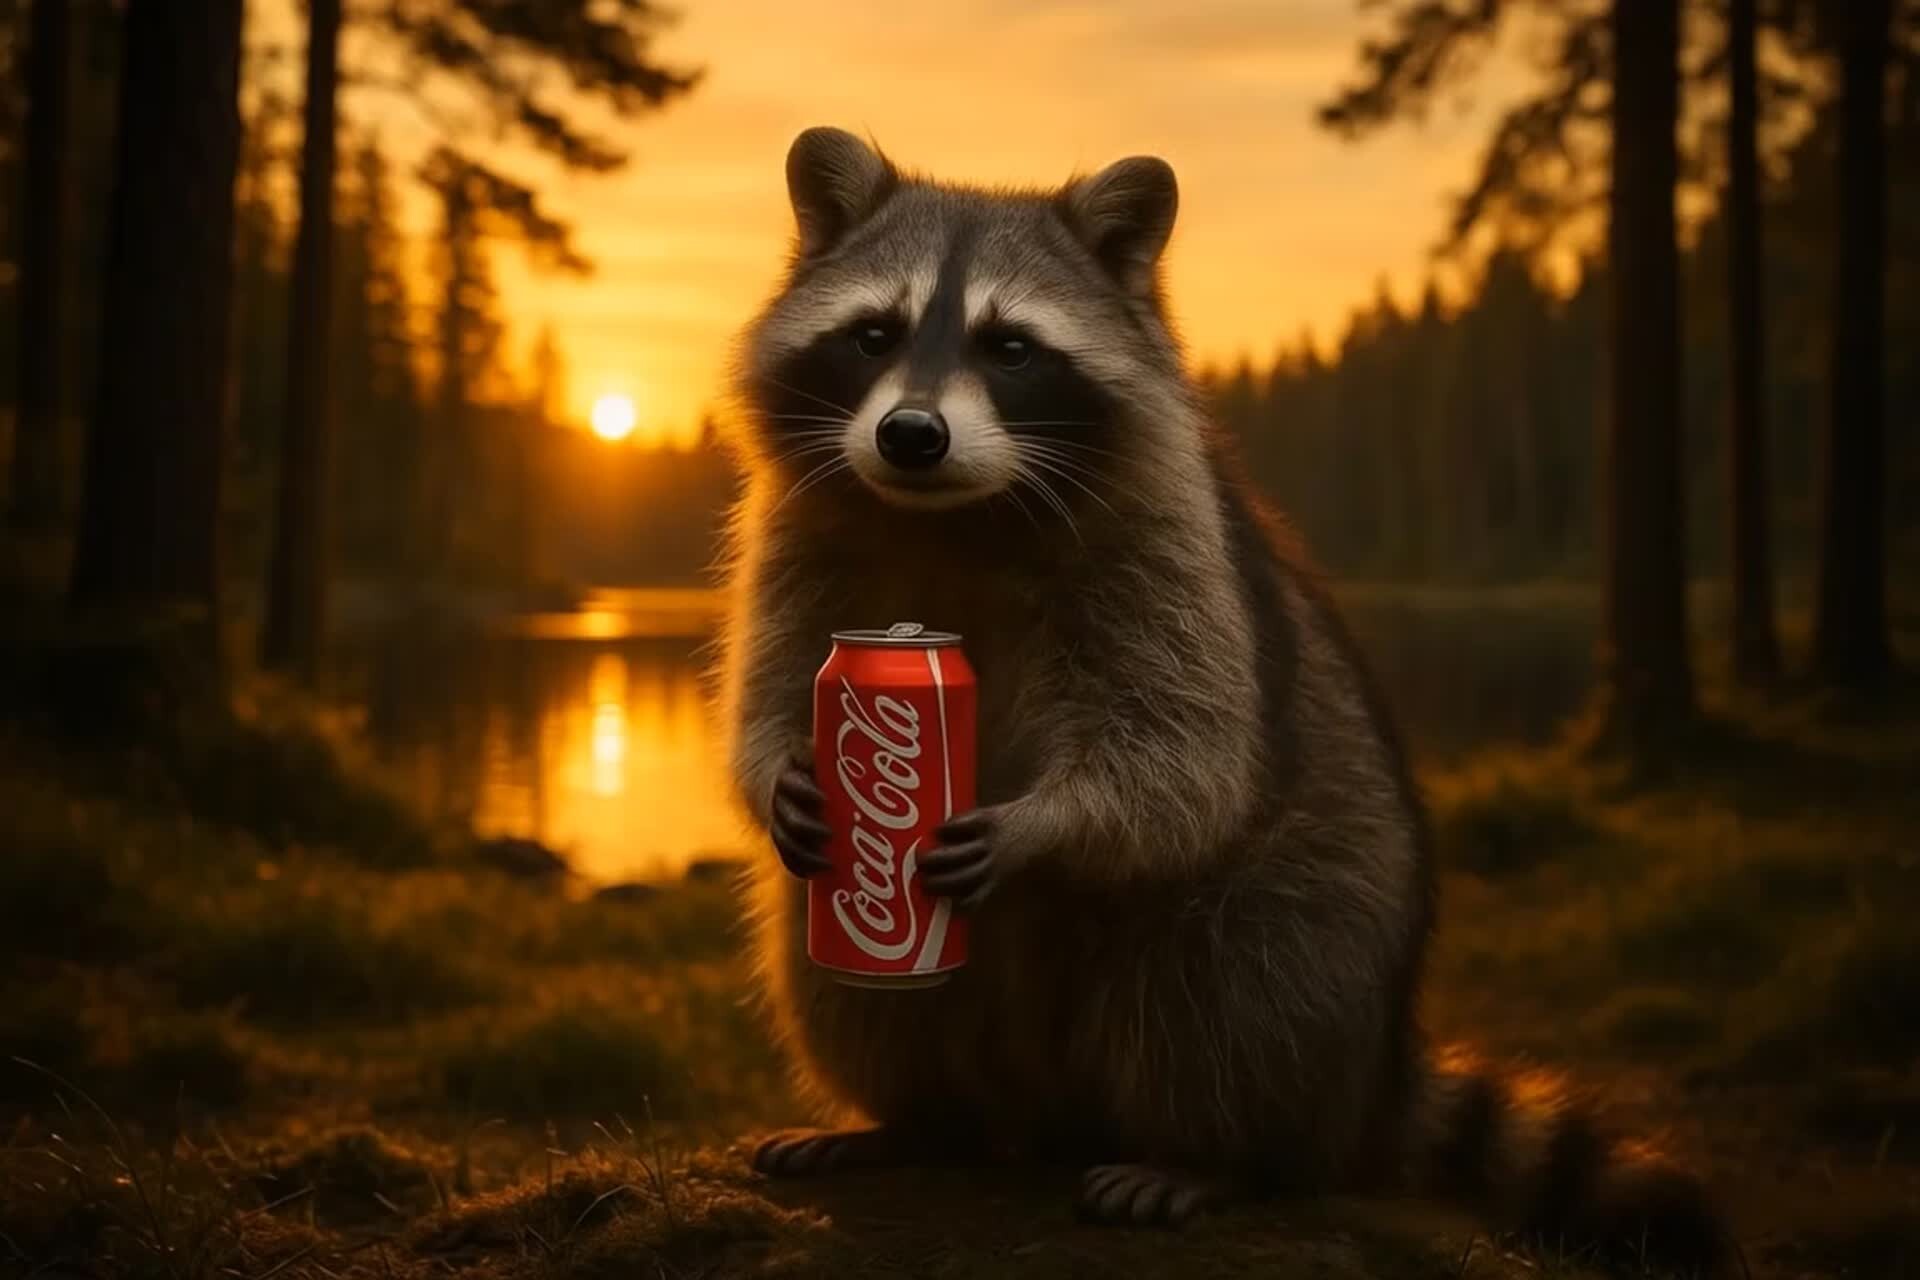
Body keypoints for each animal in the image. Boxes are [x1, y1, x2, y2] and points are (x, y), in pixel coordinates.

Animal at [715, 127, 1726, 1273]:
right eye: (873, 334)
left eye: (1010, 347)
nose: (912, 434)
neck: (952, 514)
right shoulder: (800, 541)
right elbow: (770, 685)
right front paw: (782, 777)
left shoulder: (1174, 551)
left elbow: (1178, 759)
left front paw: (1037, 825)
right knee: (825, 964)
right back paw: (912, 1120)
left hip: (1323, 916)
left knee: (1230, 974)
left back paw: (1219, 1152)